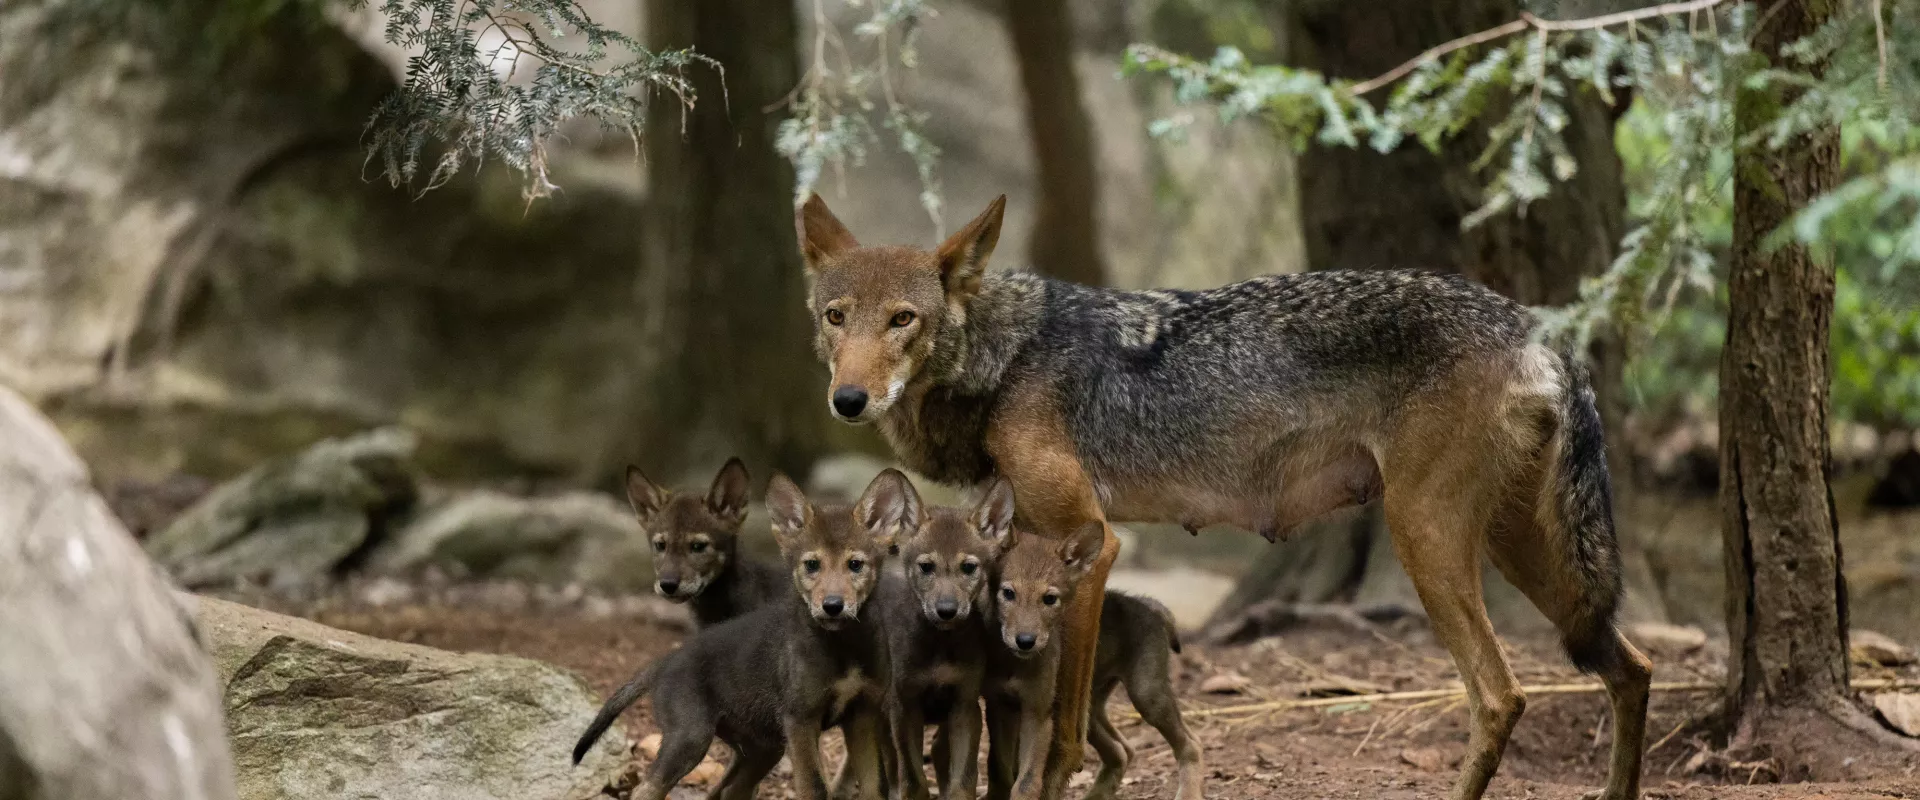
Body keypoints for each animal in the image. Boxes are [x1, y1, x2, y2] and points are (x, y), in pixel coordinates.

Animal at [793, 194, 1653, 800]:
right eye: (837, 318)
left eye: (902, 320)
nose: (847, 400)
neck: (1004, 361)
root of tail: (1538, 328)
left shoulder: (1089, 543)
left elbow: (1063, 731)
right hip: (1522, 556)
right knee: (1632, 666)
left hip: (1428, 543)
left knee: (1502, 696)